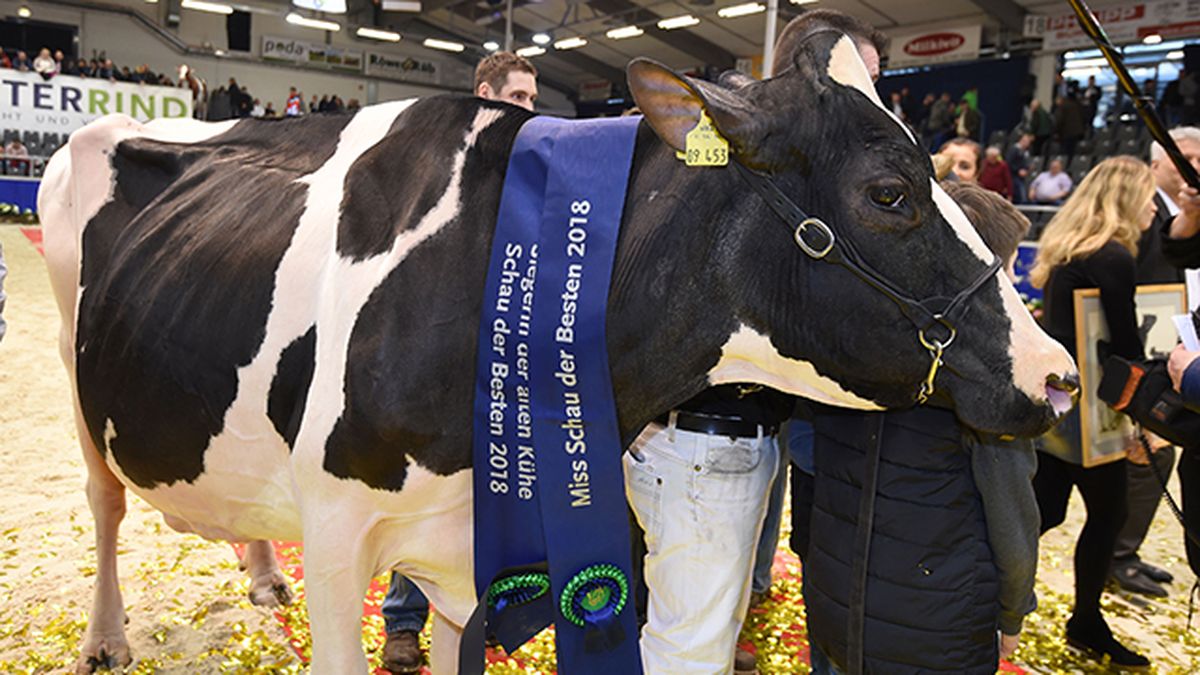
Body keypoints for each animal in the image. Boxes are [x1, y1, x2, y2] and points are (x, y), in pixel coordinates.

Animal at [39, 31, 1077, 674]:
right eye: (890, 192)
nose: (1060, 372)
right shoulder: (337, 538)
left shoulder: (469, 554)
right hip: (68, 345)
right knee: (103, 498)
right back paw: (104, 635)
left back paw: (258, 570)